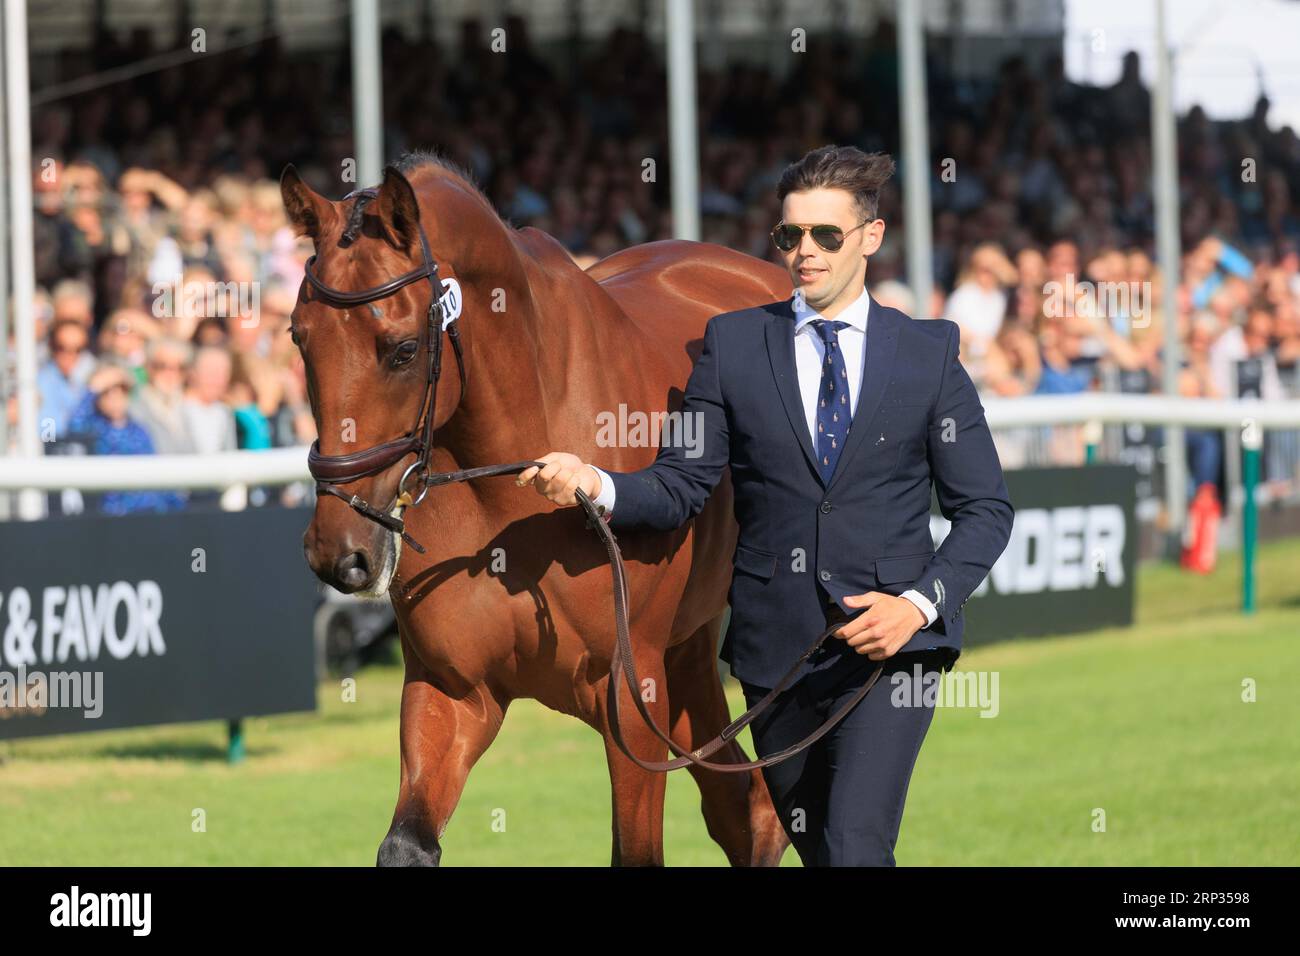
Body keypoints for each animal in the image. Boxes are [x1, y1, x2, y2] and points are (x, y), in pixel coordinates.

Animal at [281, 151, 794, 866]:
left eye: (404, 350)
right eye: (299, 339)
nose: (338, 552)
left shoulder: (631, 701)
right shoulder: (451, 691)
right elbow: (407, 844)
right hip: (689, 646)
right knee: (743, 809)